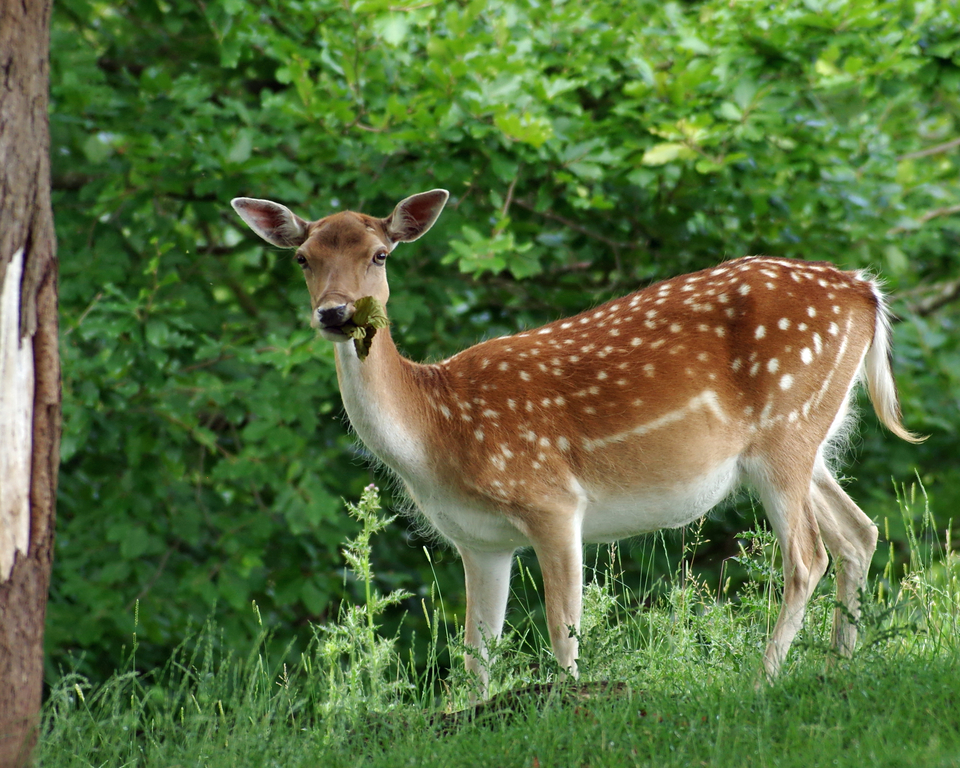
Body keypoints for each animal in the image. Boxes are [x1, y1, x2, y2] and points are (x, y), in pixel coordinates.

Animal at [231, 189, 923, 695]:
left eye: (379, 254)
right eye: (302, 258)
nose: (335, 313)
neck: (436, 433)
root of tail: (866, 291)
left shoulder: (552, 500)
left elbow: (563, 628)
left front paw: (566, 703)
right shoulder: (479, 541)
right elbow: (477, 650)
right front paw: (474, 714)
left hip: (785, 428)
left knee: (808, 555)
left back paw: (761, 681)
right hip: (807, 439)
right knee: (858, 532)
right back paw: (838, 668)